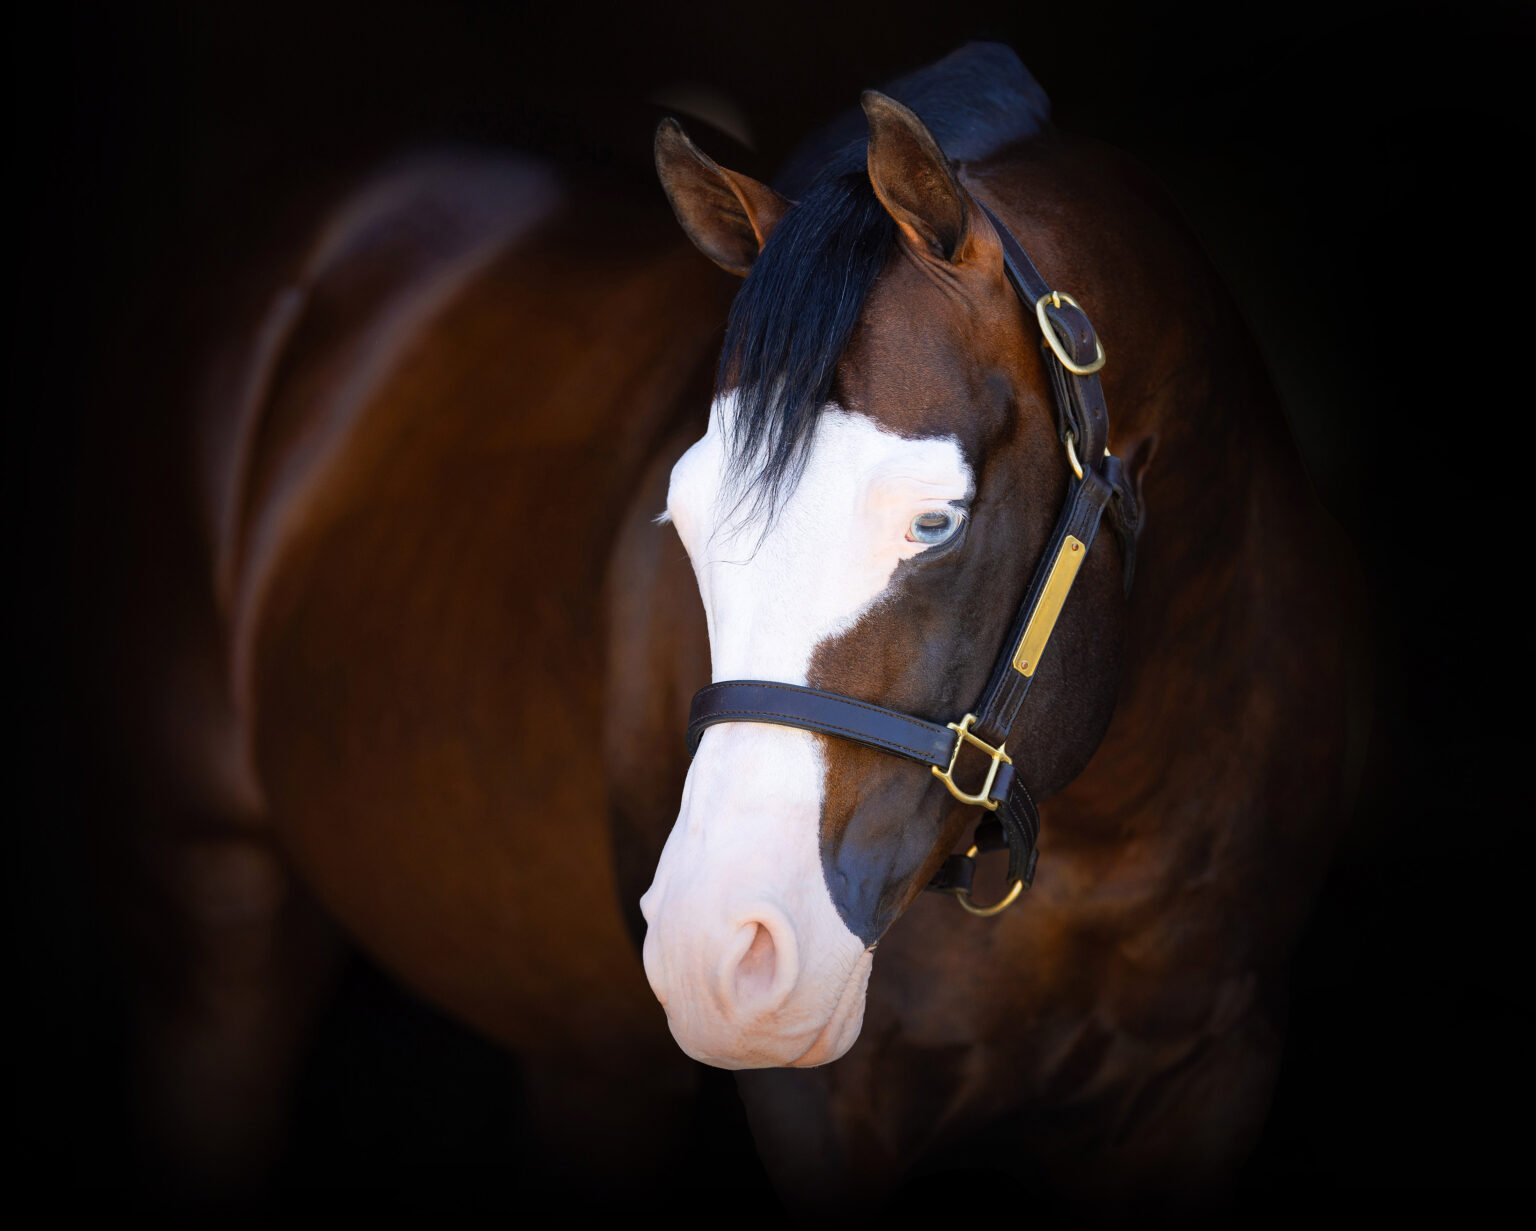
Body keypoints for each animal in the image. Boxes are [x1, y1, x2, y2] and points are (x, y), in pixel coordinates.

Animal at [89, 42, 1358, 1218]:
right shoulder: (827, 1107)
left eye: (936, 520)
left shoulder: (1214, 1069)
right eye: (688, 518)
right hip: (217, 922)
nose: (714, 955)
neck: (1107, 827)